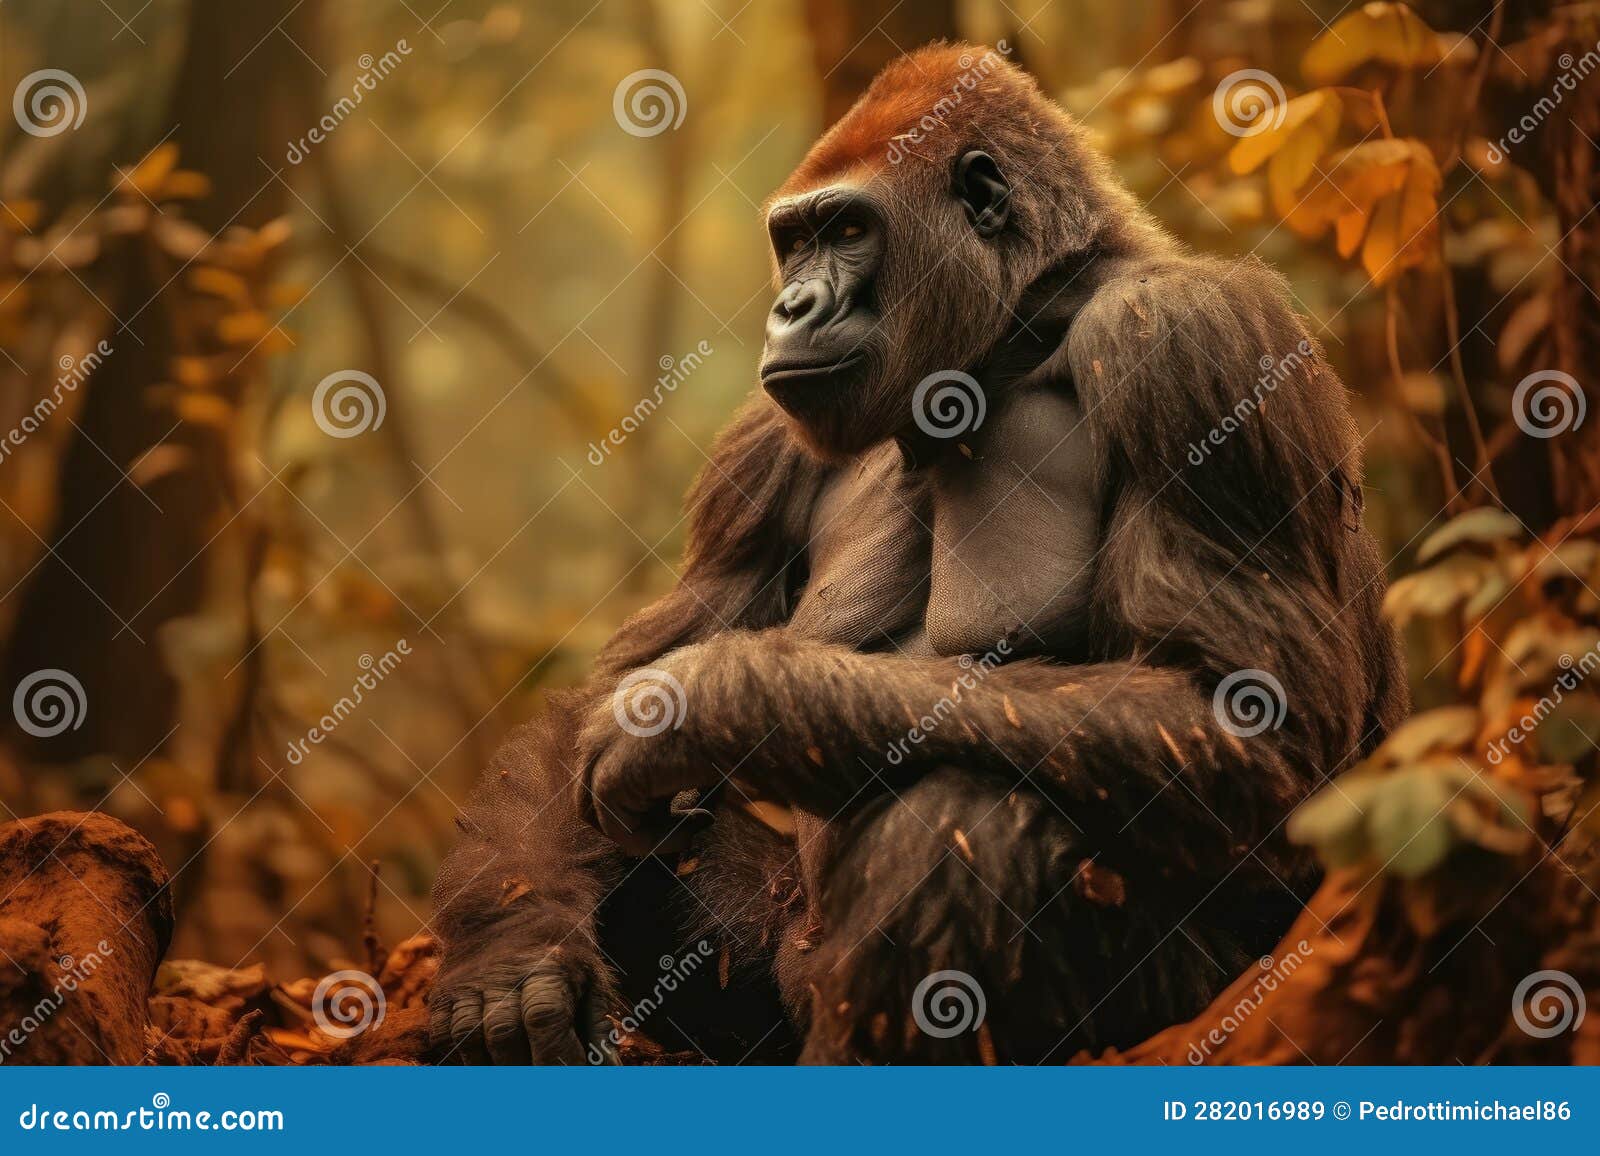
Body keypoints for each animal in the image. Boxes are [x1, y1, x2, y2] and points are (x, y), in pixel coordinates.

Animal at [428, 42, 1408, 1065]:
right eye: (795, 241)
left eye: (850, 229)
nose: (790, 306)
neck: (1007, 347)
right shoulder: (758, 452)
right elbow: (605, 694)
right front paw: (510, 954)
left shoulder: (1189, 339)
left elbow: (1234, 707)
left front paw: (707, 706)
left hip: (1217, 995)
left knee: (970, 813)